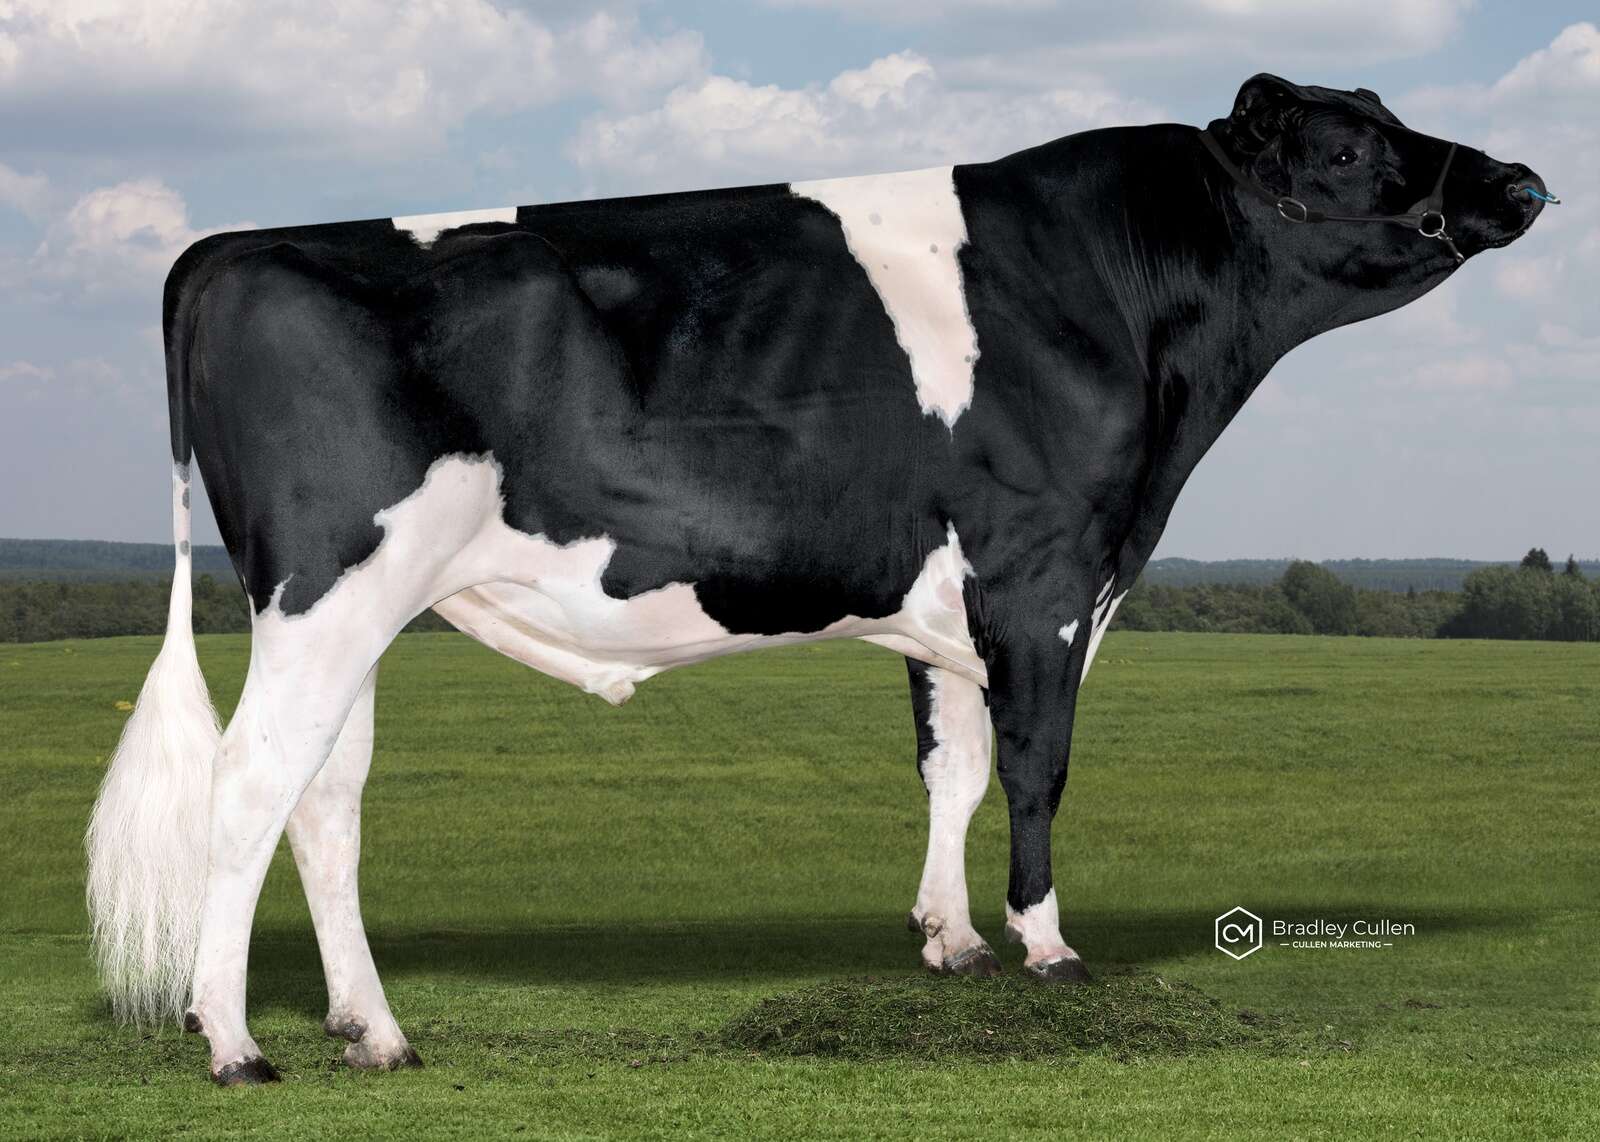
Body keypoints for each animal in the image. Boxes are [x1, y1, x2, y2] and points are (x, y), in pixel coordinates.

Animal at [87, 73, 1552, 1084]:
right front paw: (1048, 947)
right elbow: (1036, 767)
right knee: (248, 786)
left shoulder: (947, 599)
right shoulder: (1046, 575)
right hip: (324, 592)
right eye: (1349, 146)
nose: (1524, 181)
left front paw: (950, 942)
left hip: (365, 612)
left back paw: (374, 1029)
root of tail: (230, 243)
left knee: (324, 801)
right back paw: (233, 1042)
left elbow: (951, 765)